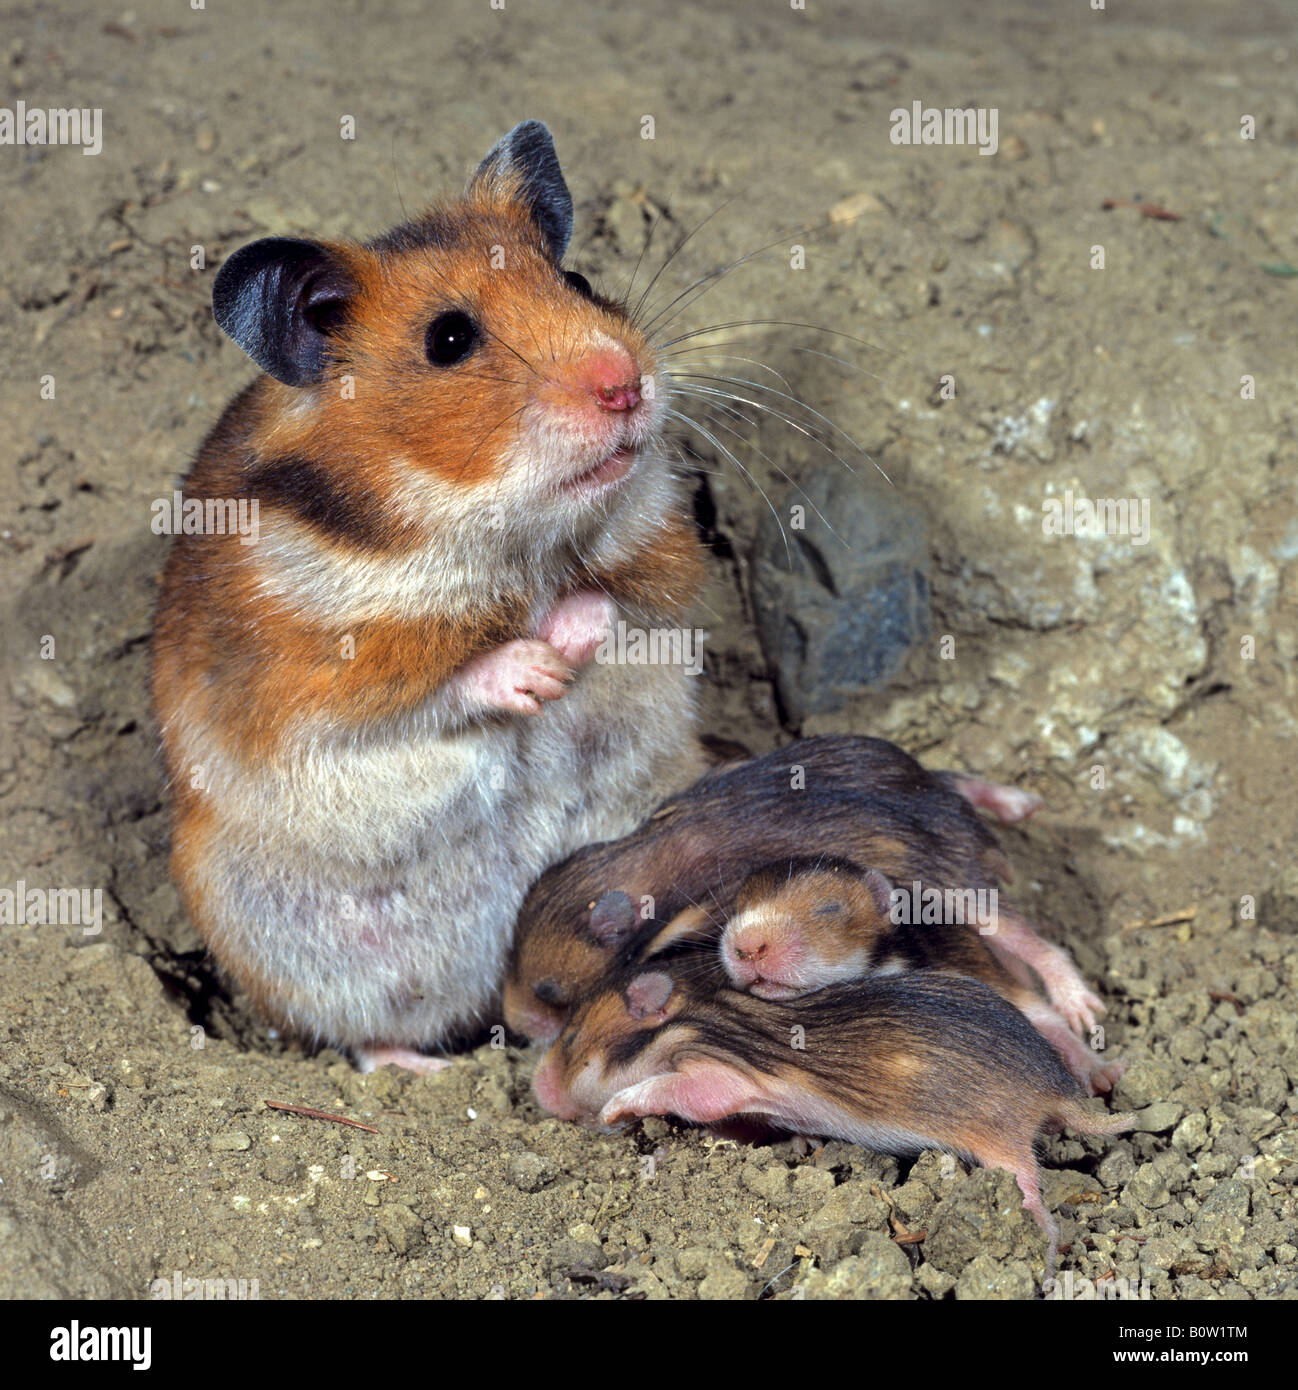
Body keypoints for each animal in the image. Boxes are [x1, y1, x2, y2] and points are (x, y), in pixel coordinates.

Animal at [150, 121, 708, 1071]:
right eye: (448, 340)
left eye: (578, 282)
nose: (625, 385)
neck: (493, 530)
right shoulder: (319, 687)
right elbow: (444, 684)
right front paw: (536, 673)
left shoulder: (662, 572)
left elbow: (613, 607)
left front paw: (568, 632)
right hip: (291, 943)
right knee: (365, 1034)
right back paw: (422, 1067)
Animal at [505, 734, 1098, 1044]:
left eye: (549, 993)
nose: (510, 1025)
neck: (639, 862)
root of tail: (980, 838)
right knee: (956, 778)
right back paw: (1021, 802)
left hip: (960, 887)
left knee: (1038, 946)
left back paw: (1081, 1008)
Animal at [531, 965, 1133, 1277]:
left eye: (574, 1043)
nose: (536, 1092)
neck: (696, 1013)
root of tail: (1058, 1093)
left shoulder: (713, 1075)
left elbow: (668, 1091)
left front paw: (614, 1108)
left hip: (999, 1145)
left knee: (1032, 1191)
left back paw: (1045, 1248)